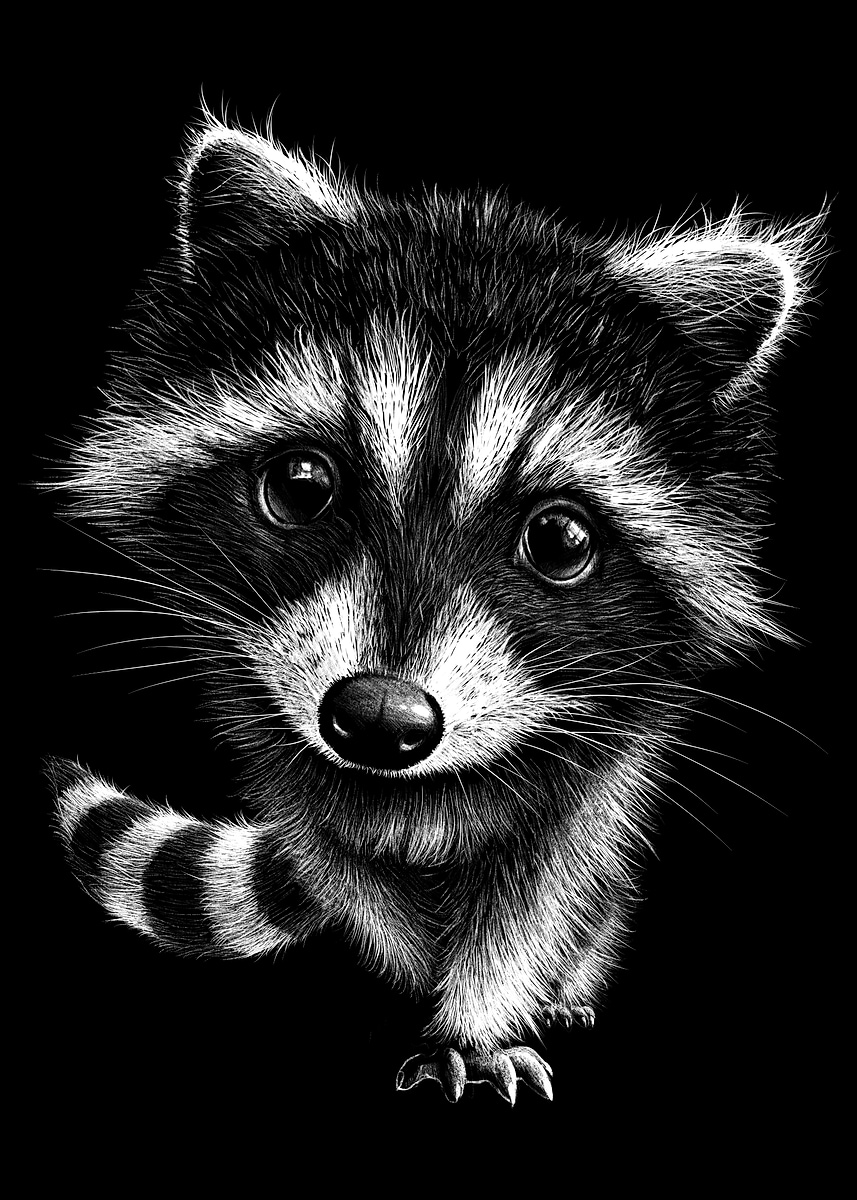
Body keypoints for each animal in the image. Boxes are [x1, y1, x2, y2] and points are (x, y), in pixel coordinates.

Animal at [45, 111, 826, 1105]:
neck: (408, 799)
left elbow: (537, 893)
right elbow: (350, 874)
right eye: (301, 486)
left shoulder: (600, 765)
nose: (379, 718)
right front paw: (425, 992)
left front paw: (481, 1017)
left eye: (559, 540)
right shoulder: (277, 738)